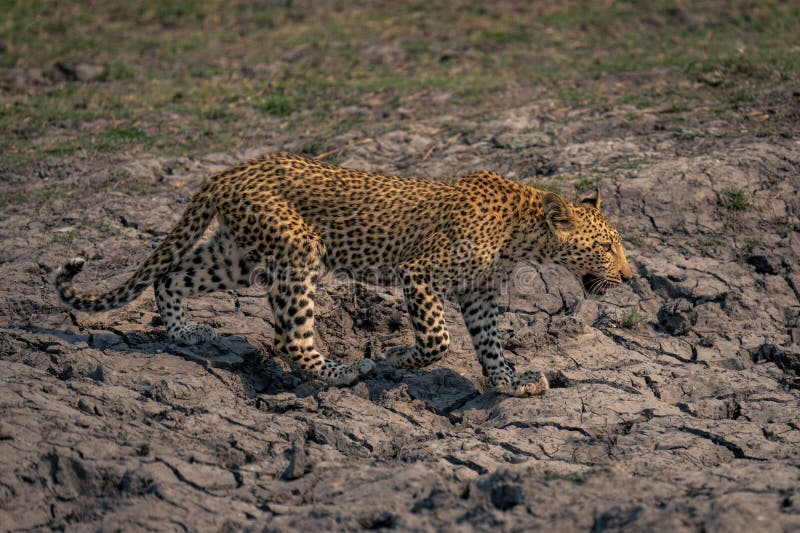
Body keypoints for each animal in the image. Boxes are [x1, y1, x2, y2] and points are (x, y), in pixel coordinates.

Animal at [55, 152, 632, 396]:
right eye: (606, 247)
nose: (628, 278)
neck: (522, 232)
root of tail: (230, 170)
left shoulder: (480, 293)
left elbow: (489, 342)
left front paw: (511, 383)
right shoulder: (419, 271)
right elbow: (438, 339)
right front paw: (398, 357)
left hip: (239, 255)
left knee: (171, 277)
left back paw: (184, 332)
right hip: (297, 249)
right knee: (293, 334)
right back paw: (340, 370)